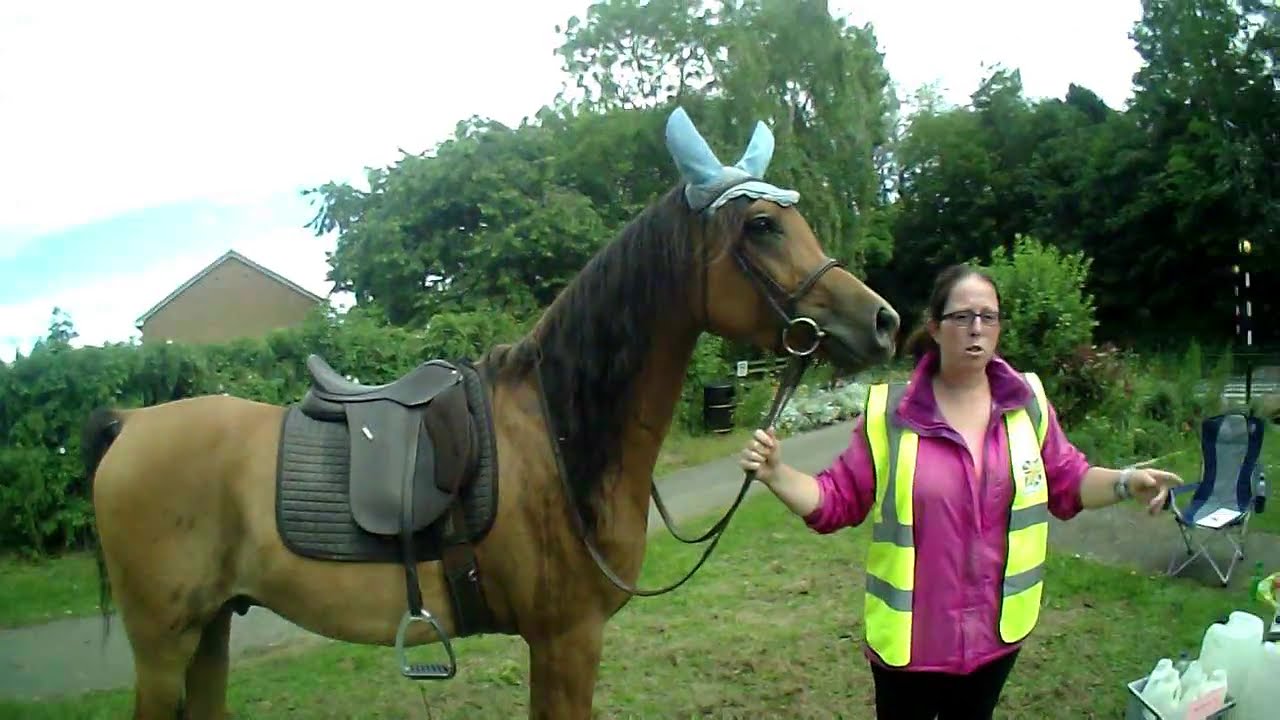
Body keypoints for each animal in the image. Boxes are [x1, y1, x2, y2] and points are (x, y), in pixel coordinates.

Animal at [83, 106, 900, 719]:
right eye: (762, 225)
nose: (883, 320)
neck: (559, 435)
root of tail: (130, 426)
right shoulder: (566, 641)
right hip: (164, 645)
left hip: (210, 629)